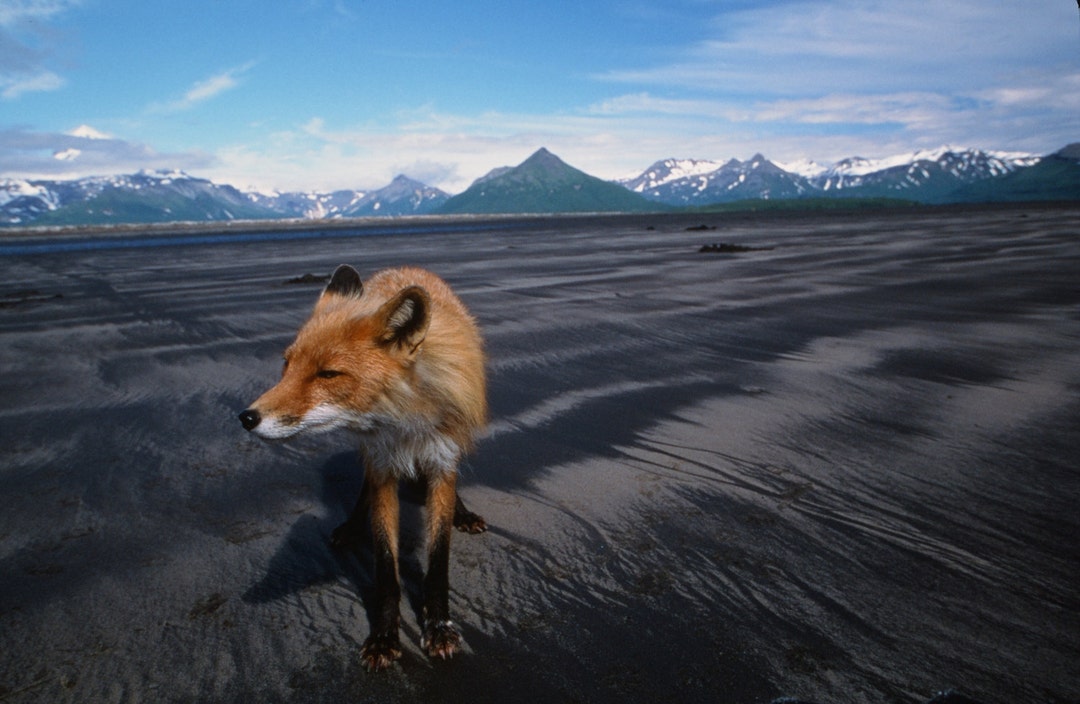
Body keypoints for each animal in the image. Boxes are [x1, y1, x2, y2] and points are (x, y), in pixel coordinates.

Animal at [239, 264, 488, 671]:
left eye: (328, 374)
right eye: (287, 364)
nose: (246, 417)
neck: (405, 423)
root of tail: (405, 269)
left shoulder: (441, 460)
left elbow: (438, 560)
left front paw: (438, 627)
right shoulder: (383, 466)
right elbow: (386, 568)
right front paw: (385, 637)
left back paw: (462, 513)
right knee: (363, 491)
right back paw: (352, 525)